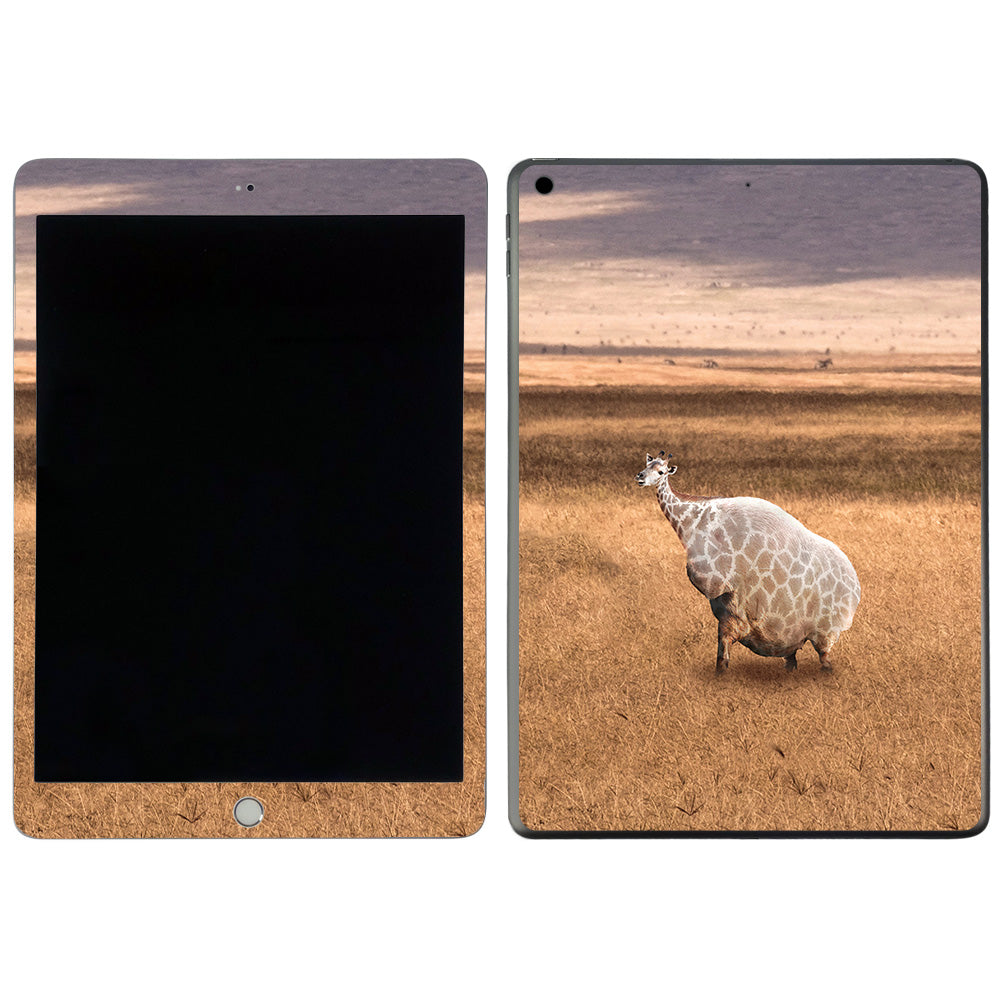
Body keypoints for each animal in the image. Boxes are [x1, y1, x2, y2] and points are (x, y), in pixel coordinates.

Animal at [635, 452, 861, 674]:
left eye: (661, 471)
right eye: (647, 464)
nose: (640, 477)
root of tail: (855, 586)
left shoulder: (718, 582)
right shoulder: (729, 616)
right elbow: (722, 661)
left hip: (825, 631)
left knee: (825, 661)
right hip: (795, 638)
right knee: (793, 659)